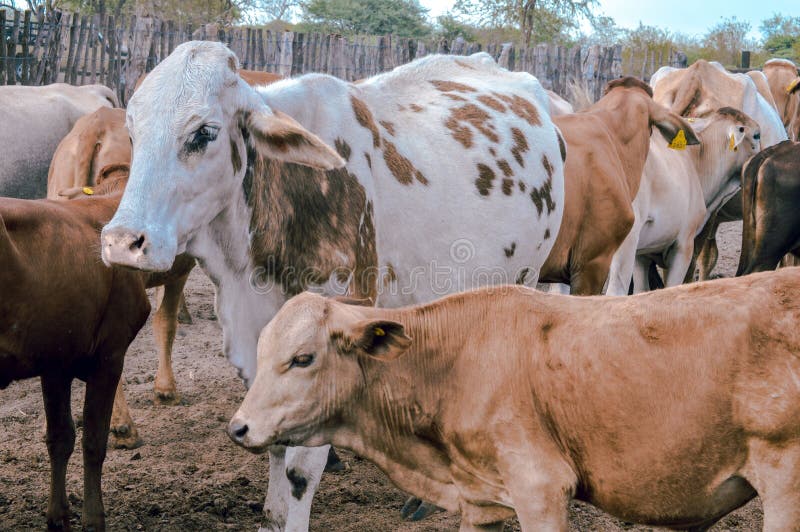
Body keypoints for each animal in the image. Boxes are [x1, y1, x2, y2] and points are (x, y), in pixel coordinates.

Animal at [0, 194, 150, 531]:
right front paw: (94, 520)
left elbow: (60, 437)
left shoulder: (56, 361)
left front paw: (58, 518)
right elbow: (94, 440)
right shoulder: (110, 355)